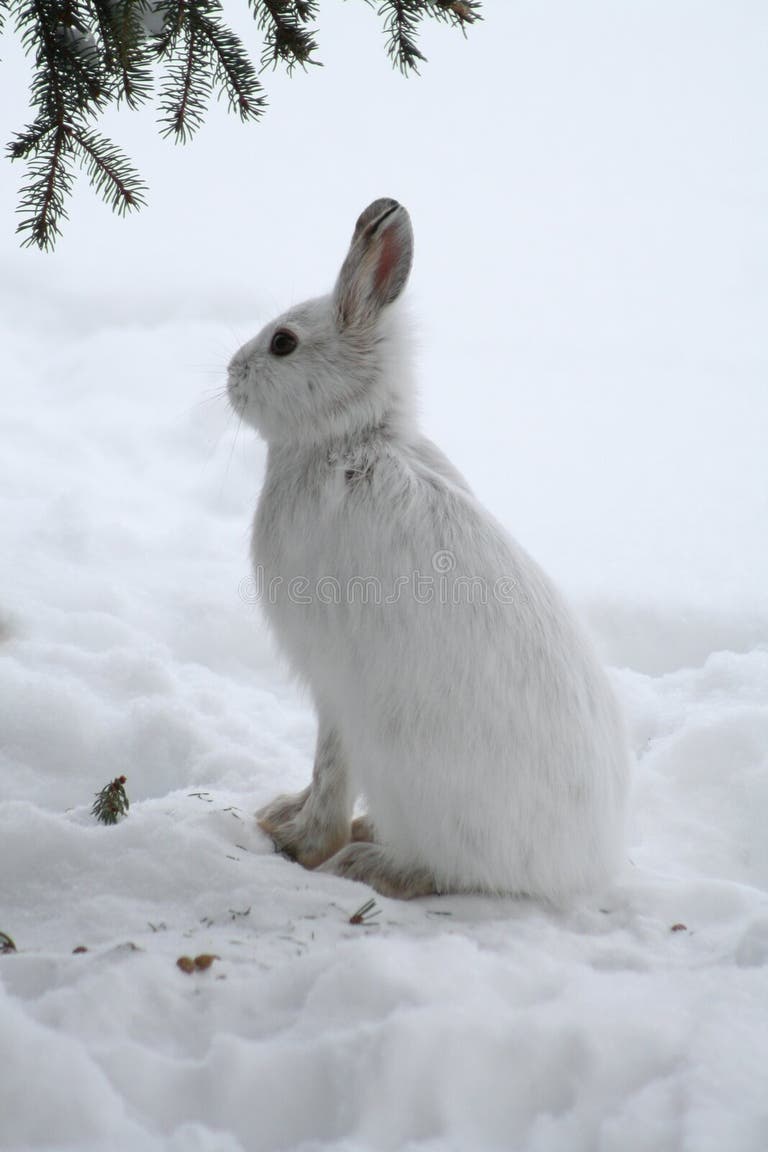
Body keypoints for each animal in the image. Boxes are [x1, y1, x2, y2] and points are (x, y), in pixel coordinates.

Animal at [227, 198, 629, 901]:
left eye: (282, 342)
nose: (230, 375)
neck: (347, 439)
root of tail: (577, 866)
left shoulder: (332, 685)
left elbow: (329, 767)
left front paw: (300, 841)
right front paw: (282, 814)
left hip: (407, 768)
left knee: (444, 869)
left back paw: (368, 862)